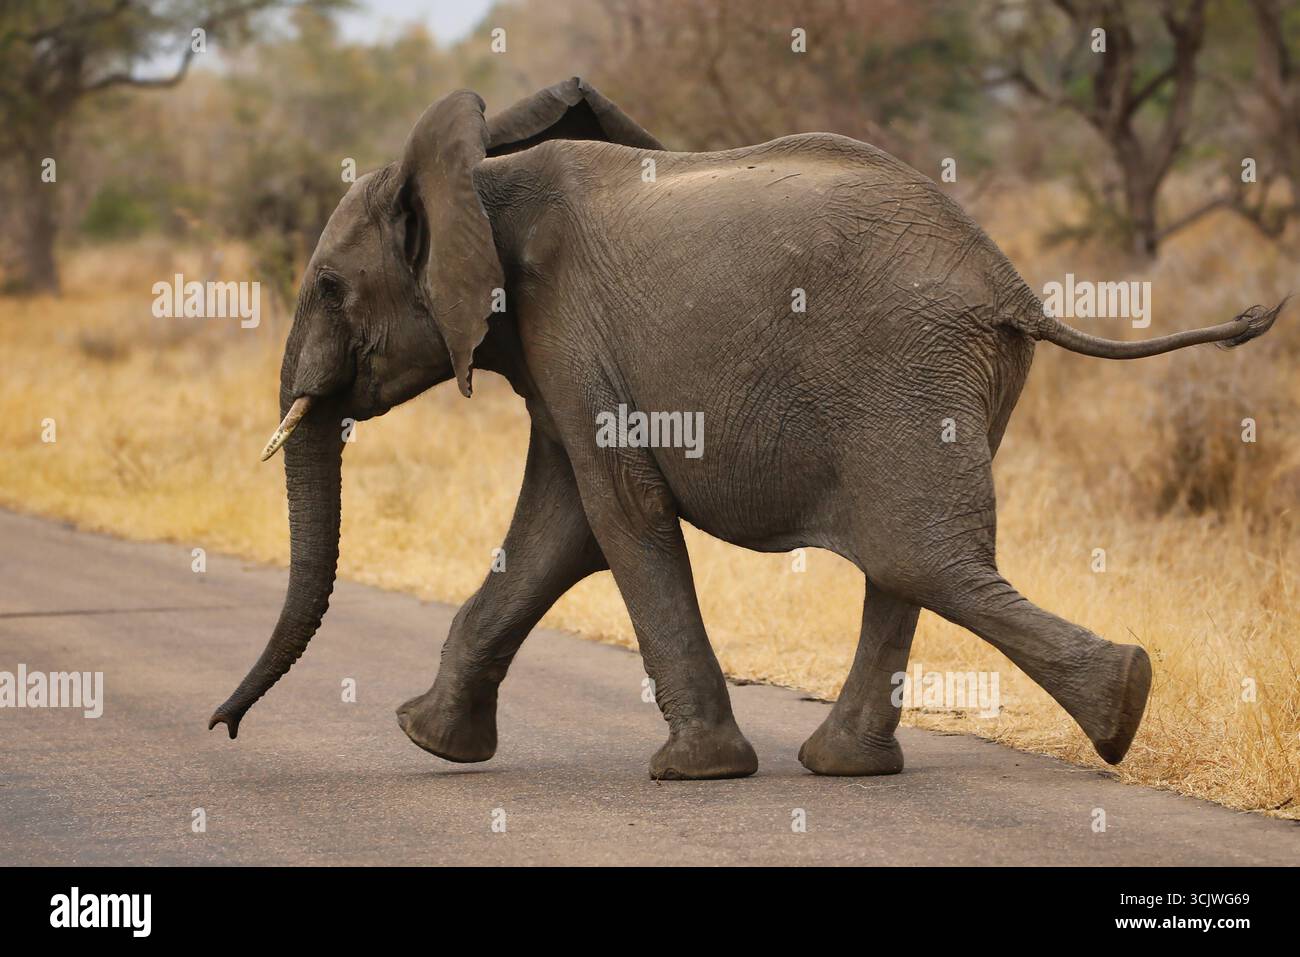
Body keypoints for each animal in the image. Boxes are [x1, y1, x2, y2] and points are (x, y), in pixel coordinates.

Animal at [210, 77, 1283, 780]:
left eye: (329, 286)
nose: (223, 728)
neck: (480, 176)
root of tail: (1013, 284)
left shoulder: (569, 330)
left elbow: (617, 516)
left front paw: (694, 771)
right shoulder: (560, 357)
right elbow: (559, 528)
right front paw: (426, 738)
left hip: (902, 369)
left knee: (917, 554)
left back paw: (1123, 703)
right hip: (946, 377)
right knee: (907, 561)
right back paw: (850, 765)